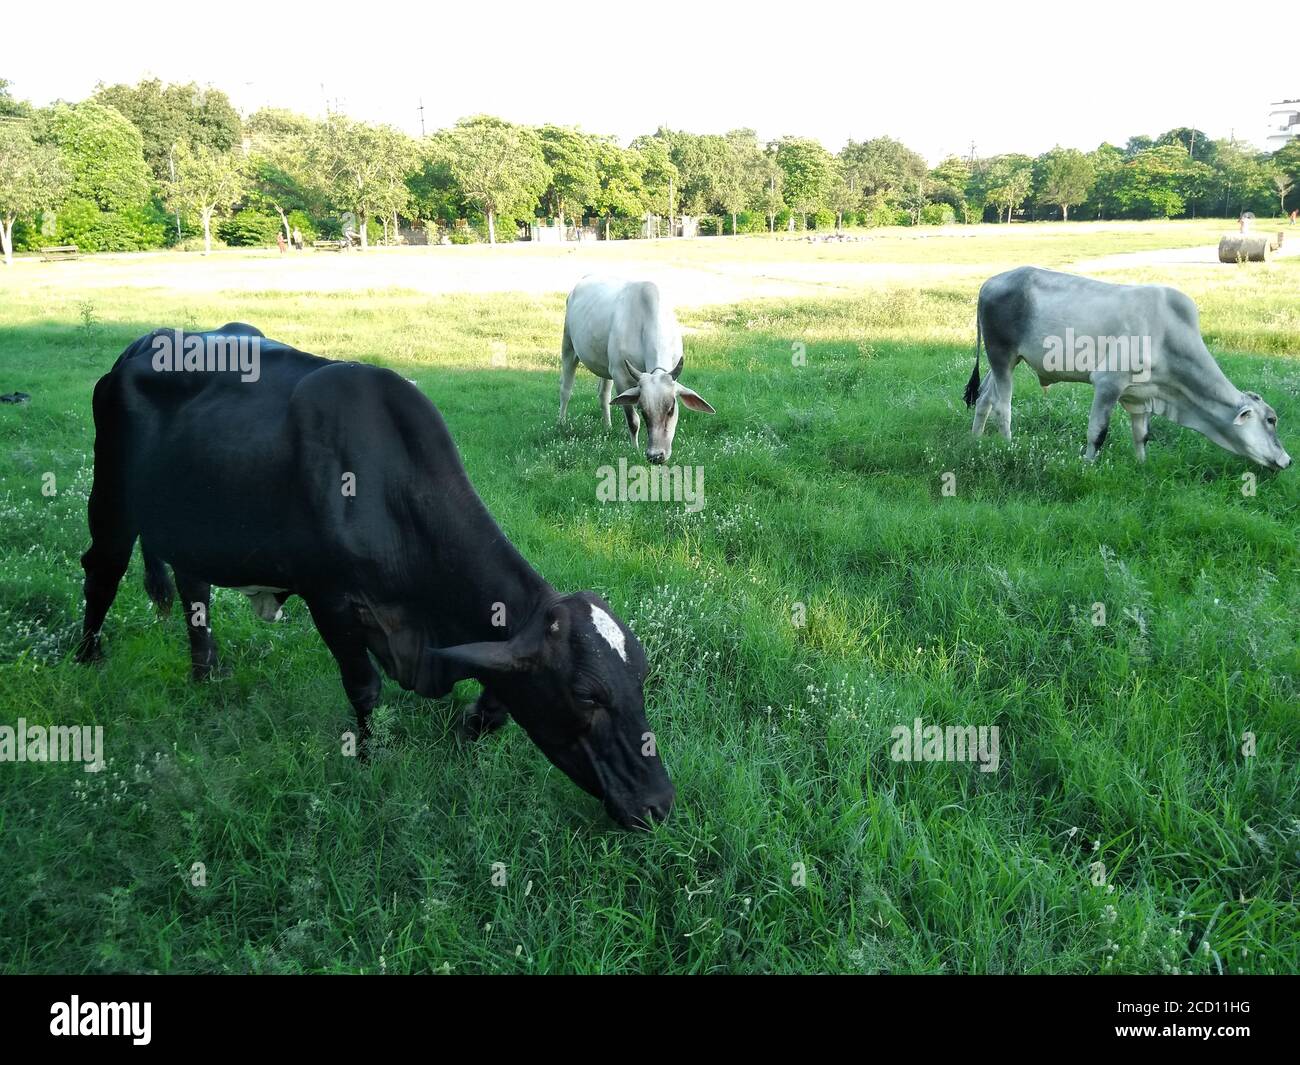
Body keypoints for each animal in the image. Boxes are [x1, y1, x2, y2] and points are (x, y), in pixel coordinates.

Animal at [74, 323, 675, 830]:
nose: (659, 803)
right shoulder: (329, 598)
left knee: (193, 587)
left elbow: (500, 693)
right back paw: (87, 659)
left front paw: (469, 729)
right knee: (100, 571)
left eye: (642, 678)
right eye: (587, 695)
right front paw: (367, 760)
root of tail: (140, 344)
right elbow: (364, 689)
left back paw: (207, 673)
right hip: (111, 498)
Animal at [559, 276, 715, 464]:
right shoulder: (621, 376)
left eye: (671, 409)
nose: (656, 456)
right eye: (642, 409)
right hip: (568, 346)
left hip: (605, 367)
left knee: (603, 394)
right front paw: (635, 450)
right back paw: (561, 422)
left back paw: (607, 426)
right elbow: (633, 421)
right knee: (566, 389)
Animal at [964, 267, 1292, 471]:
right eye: (1271, 420)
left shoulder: (1140, 396)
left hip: (1007, 360)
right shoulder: (1108, 384)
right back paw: (1008, 445)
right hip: (1001, 355)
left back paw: (975, 440)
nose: (1287, 461)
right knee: (1003, 405)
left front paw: (1141, 464)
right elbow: (1097, 433)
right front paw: (1087, 466)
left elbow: (1141, 435)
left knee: (984, 398)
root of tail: (989, 282)